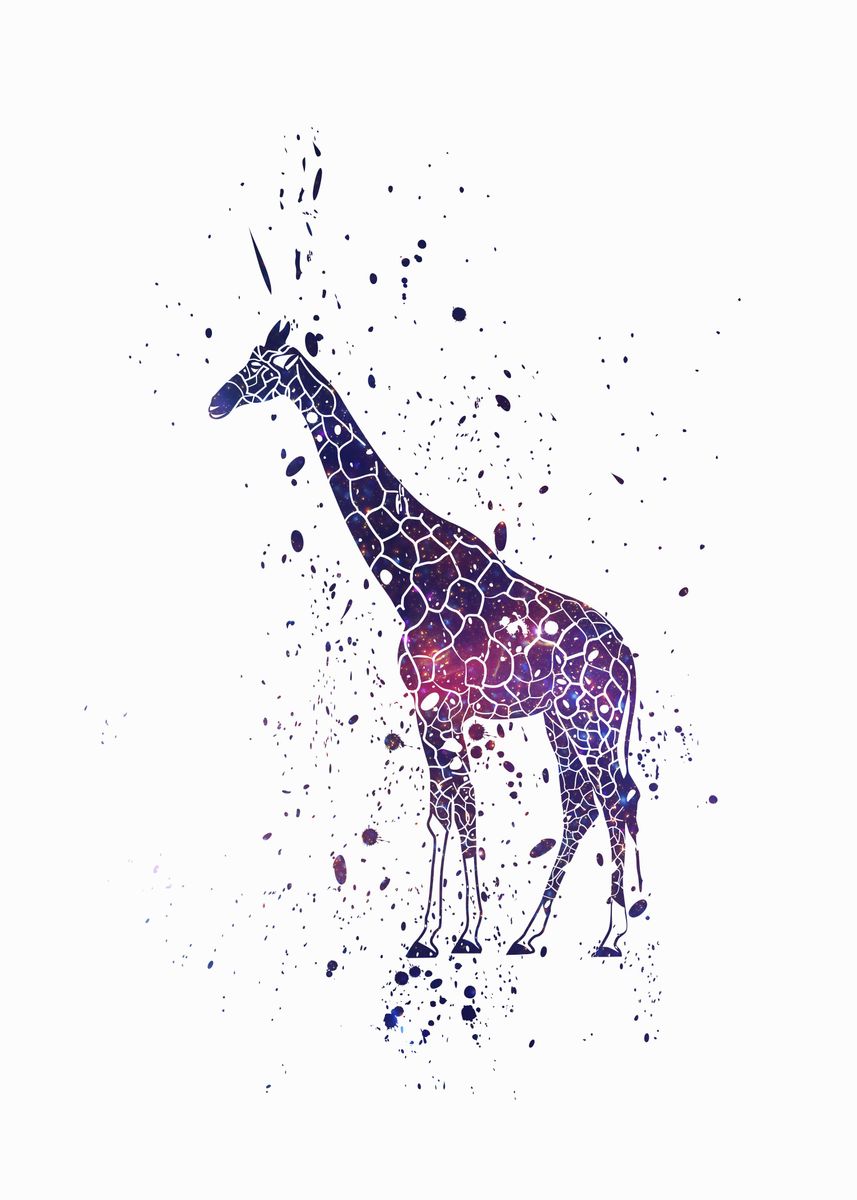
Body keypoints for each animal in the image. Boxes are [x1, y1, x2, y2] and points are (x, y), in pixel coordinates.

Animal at [209, 320, 643, 958]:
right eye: (246, 358)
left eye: (263, 369)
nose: (216, 402)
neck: (411, 585)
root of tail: (630, 659)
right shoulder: (429, 709)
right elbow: (443, 811)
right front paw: (433, 933)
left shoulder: (440, 707)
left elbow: (461, 808)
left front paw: (463, 933)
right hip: (562, 724)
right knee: (584, 805)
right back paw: (530, 933)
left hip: (591, 721)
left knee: (613, 800)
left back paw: (612, 934)